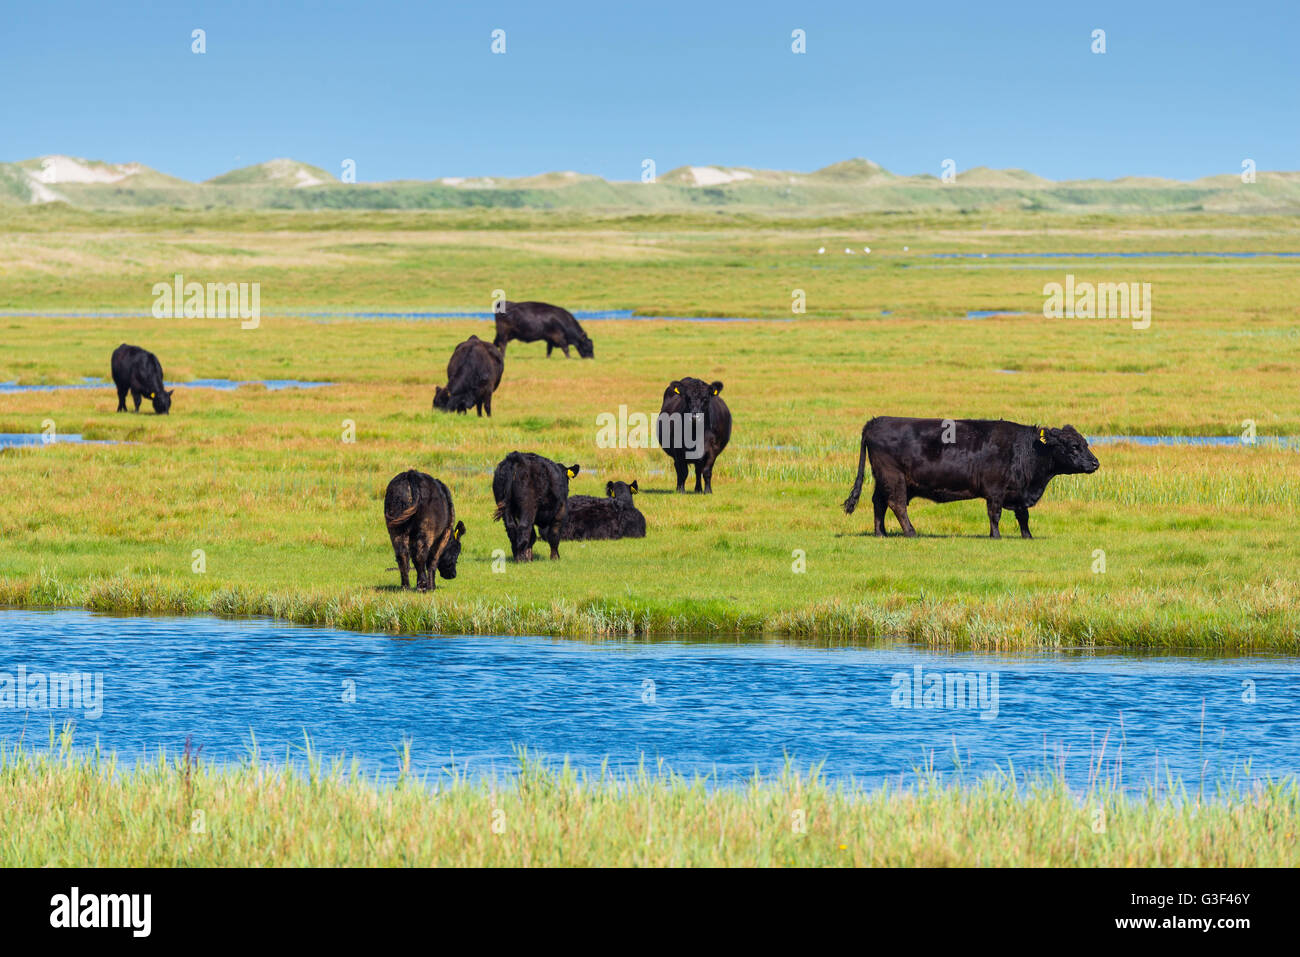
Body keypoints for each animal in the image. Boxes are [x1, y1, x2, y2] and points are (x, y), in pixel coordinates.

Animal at [841, 417, 1100, 539]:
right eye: (1074, 446)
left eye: (1085, 443)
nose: (1095, 463)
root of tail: (876, 421)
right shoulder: (995, 491)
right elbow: (995, 515)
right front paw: (995, 536)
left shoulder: (1018, 492)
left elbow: (1023, 517)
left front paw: (1028, 536)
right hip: (894, 478)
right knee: (896, 504)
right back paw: (911, 532)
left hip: (882, 479)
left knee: (879, 502)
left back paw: (881, 532)